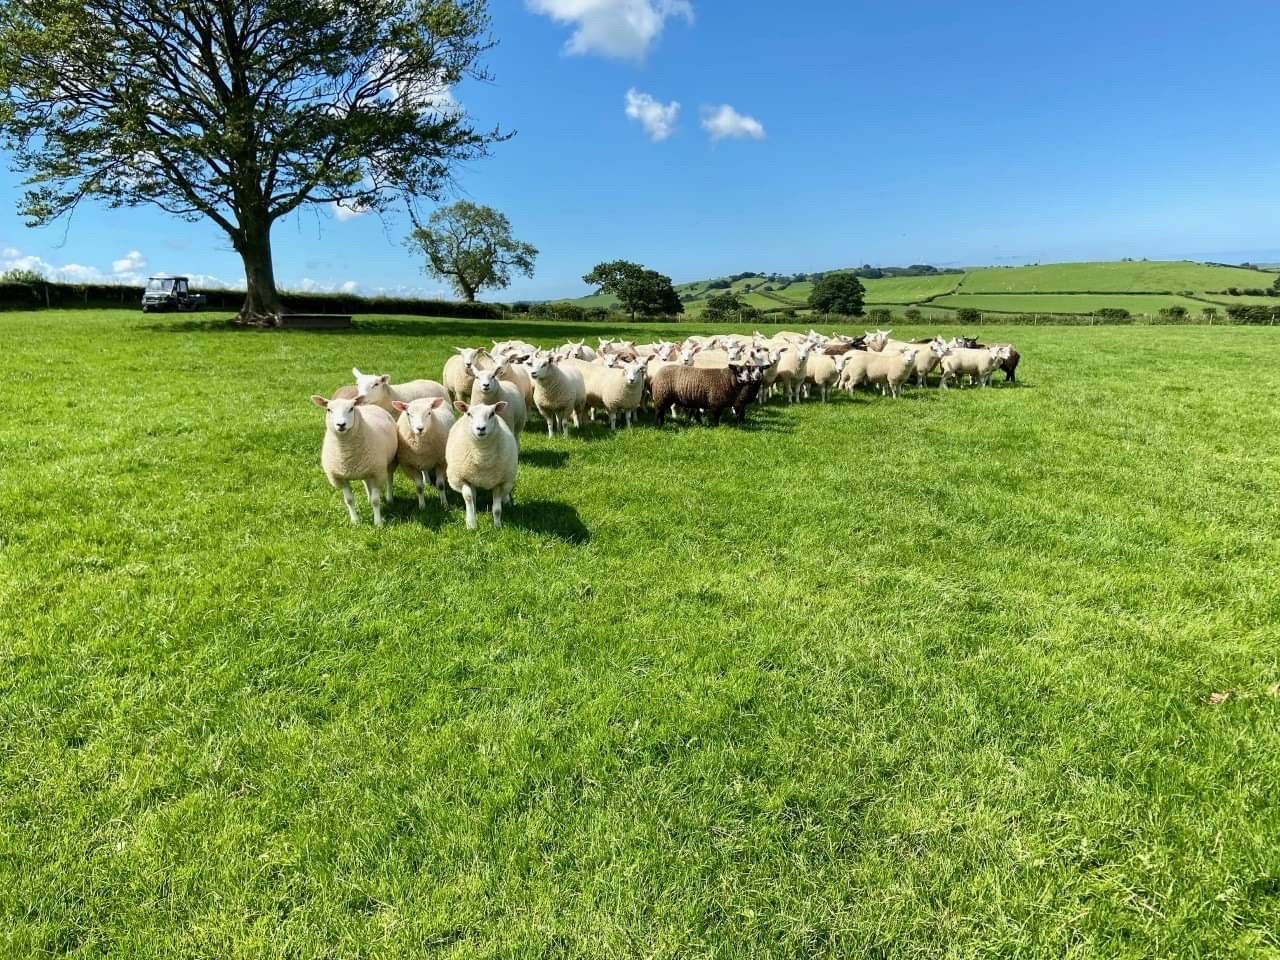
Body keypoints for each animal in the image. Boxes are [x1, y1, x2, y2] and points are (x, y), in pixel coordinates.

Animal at [309, 394, 398, 526]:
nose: (341, 424)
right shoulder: (340, 477)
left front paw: (378, 523)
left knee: (389, 478)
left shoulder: (376, 473)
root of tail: (369, 405)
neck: (346, 455)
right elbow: (349, 500)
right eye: (329, 409)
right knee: (366, 482)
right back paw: (368, 497)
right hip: (365, 468)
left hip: (388, 463)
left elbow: (376, 501)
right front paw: (355, 521)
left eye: (351, 408)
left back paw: (389, 498)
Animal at [446, 401, 518, 530]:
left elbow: (497, 509)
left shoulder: (498, 482)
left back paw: (506, 501)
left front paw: (497, 527)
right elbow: (469, 498)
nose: (481, 428)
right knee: (473, 496)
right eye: (469, 414)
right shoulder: (462, 478)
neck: (482, 457)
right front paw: (471, 524)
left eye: (492, 414)